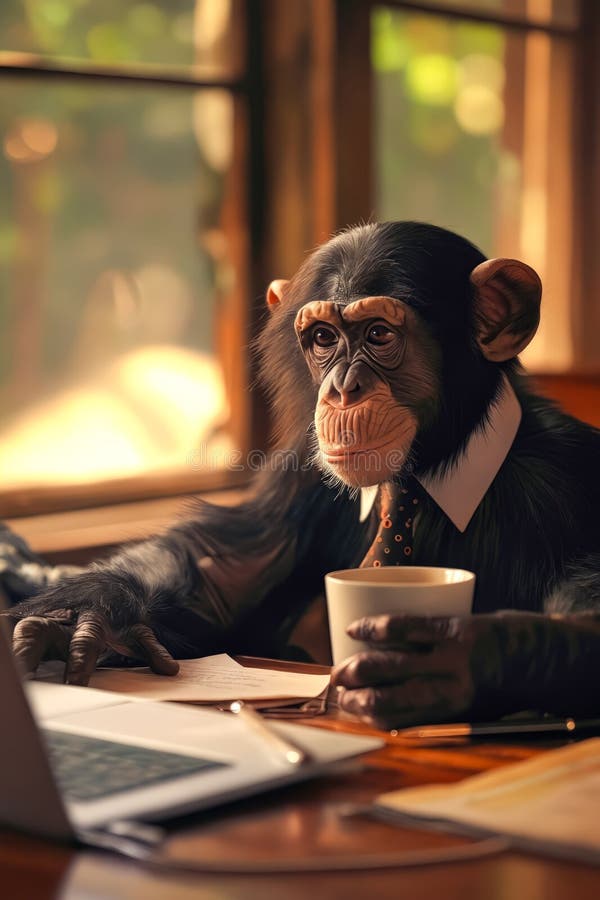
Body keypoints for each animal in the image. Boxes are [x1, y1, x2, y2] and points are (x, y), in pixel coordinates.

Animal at [2, 221, 600, 729]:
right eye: (324, 339)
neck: (424, 471)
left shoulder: (568, 480)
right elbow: (219, 575)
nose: (342, 388)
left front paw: (455, 659)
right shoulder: (296, 482)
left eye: (379, 334)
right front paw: (85, 618)